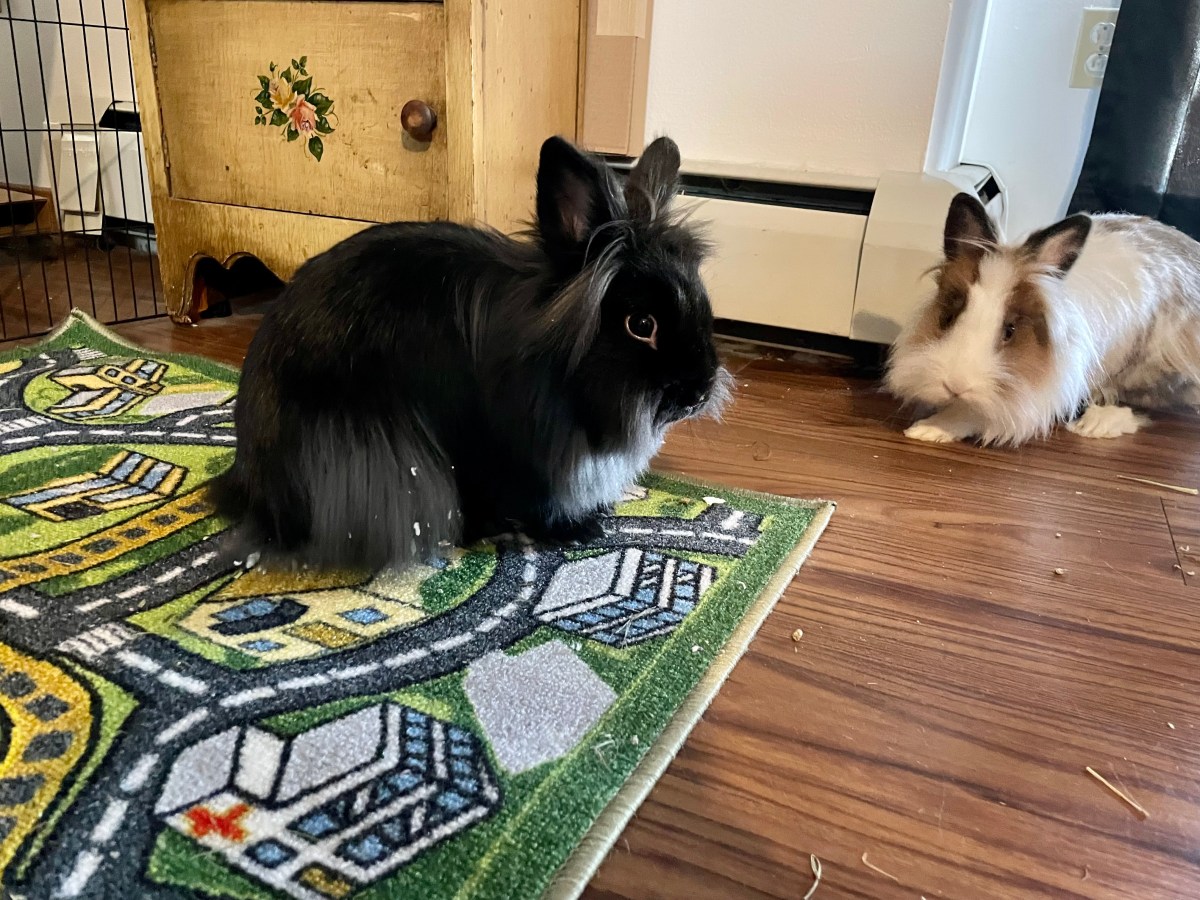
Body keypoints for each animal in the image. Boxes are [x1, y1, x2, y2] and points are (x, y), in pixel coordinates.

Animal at [885, 191, 1200, 447]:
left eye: (1010, 330)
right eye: (948, 317)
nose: (955, 386)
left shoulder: (1035, 392)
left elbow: (983, 412)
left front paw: (932, 428)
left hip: (1159, 361)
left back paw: (1095, 424)